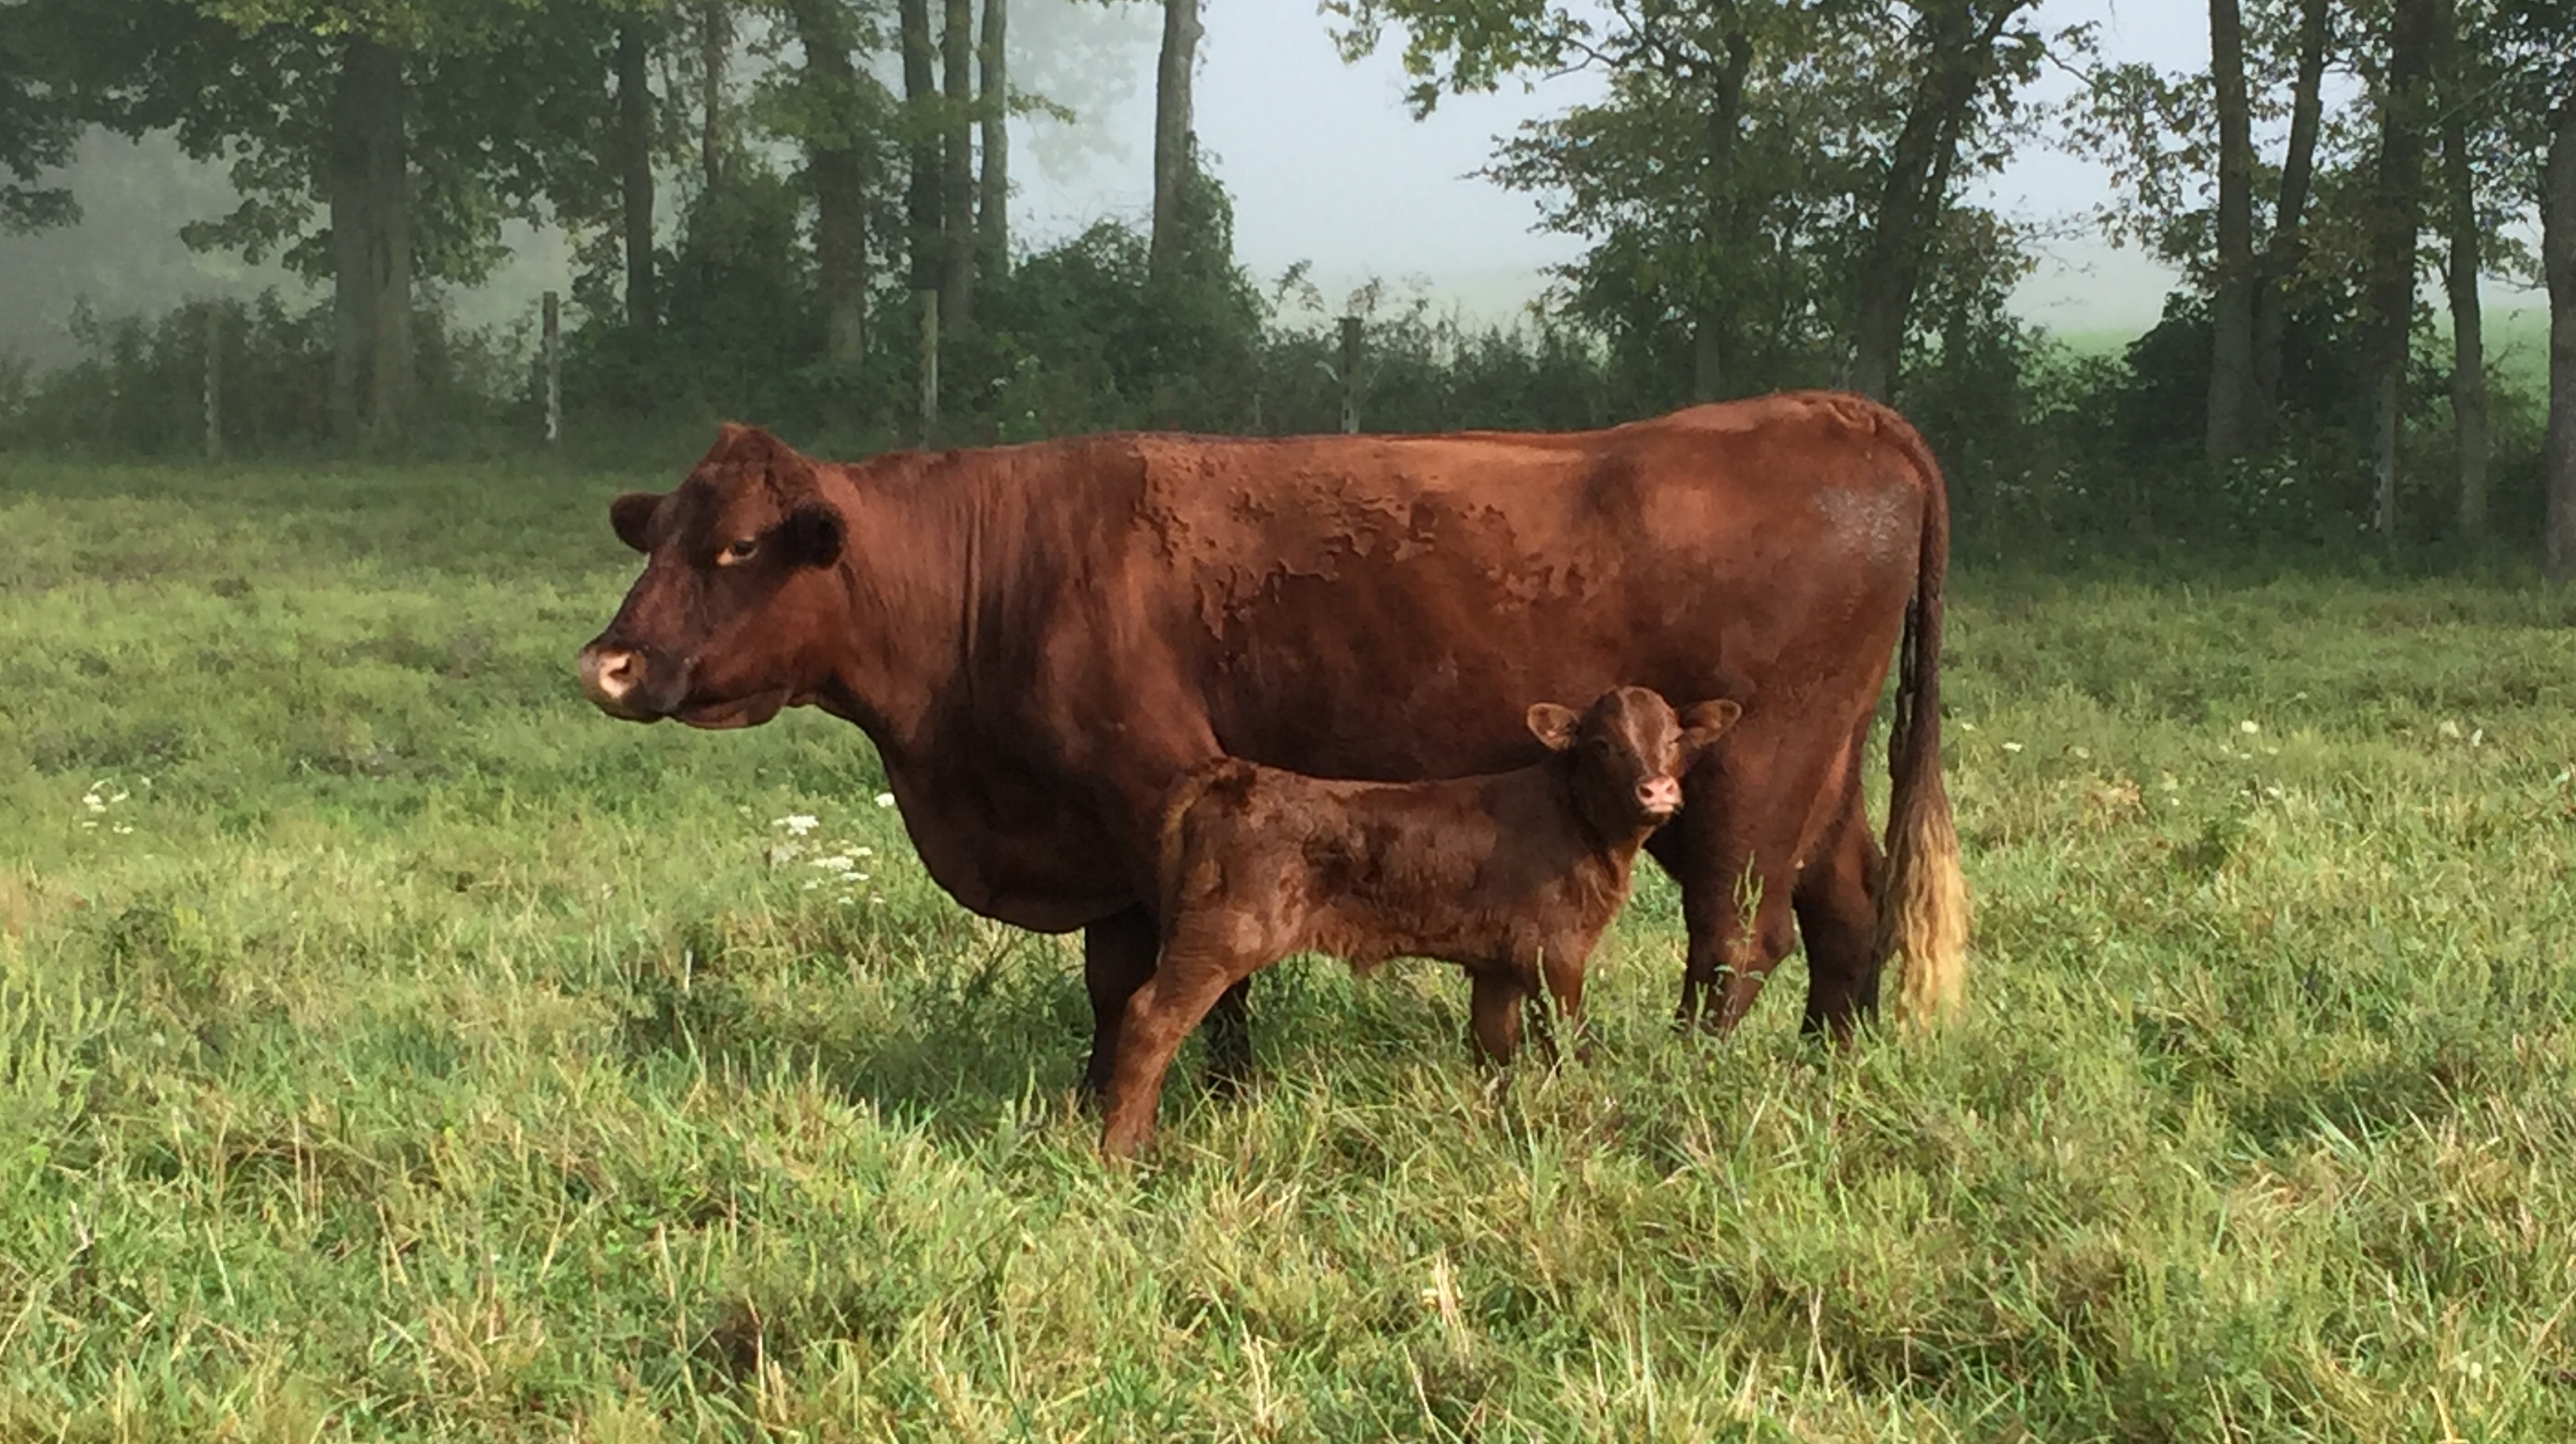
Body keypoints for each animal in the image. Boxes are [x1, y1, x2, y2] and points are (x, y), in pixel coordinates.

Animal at [576, 391, 1968, 1098]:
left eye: (734, 549)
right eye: (659, 535)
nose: (608, 663)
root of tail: (1833, 412)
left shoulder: (1164, 801)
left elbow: (1191, 979)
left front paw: (1213, 1094)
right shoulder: (1100, 841)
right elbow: (1114, 980)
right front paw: (1101, 1092)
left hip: (1737, 779)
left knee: (1734, 940)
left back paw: (1678, 1086)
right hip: (1820, 774)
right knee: (1843, 912)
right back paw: (1828, 1072)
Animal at [1100, 686, 1742, 1157]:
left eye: (1675, 738)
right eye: (1603, 743)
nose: (1658, 789)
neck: (1579, 826)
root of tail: (1239, 774)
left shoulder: (1498, 964)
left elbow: (1493, 1046)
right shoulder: (1555, 954)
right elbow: (1567, 1042)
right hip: (1221, 936)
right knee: (1151, 1019)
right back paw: (1124, 1150)